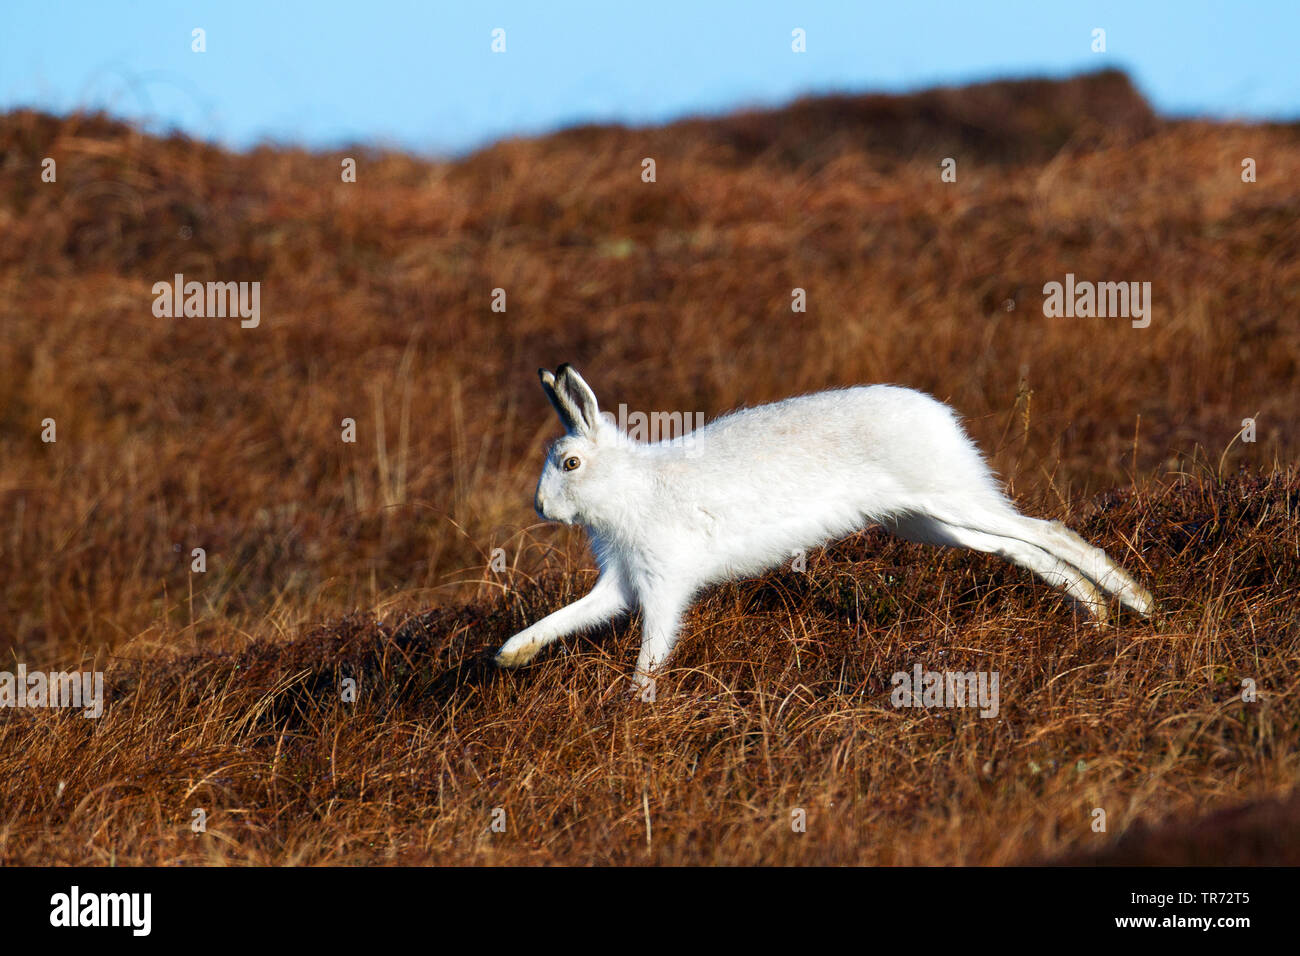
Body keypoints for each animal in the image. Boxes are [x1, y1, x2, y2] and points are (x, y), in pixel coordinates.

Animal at [495, 364, 1154, 690]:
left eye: (570, 464)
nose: (541, 508)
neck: (631, 486)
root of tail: (940, 415)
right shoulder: (622, 584)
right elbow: (568, 617)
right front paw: (508, 656)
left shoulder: (663, 585)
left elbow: (652, 653)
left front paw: (638, 704)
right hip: (932, 522)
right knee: (1017, 546)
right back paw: (1097, 612)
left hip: (949, 498)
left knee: (1048, 531)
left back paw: (1134, 603)